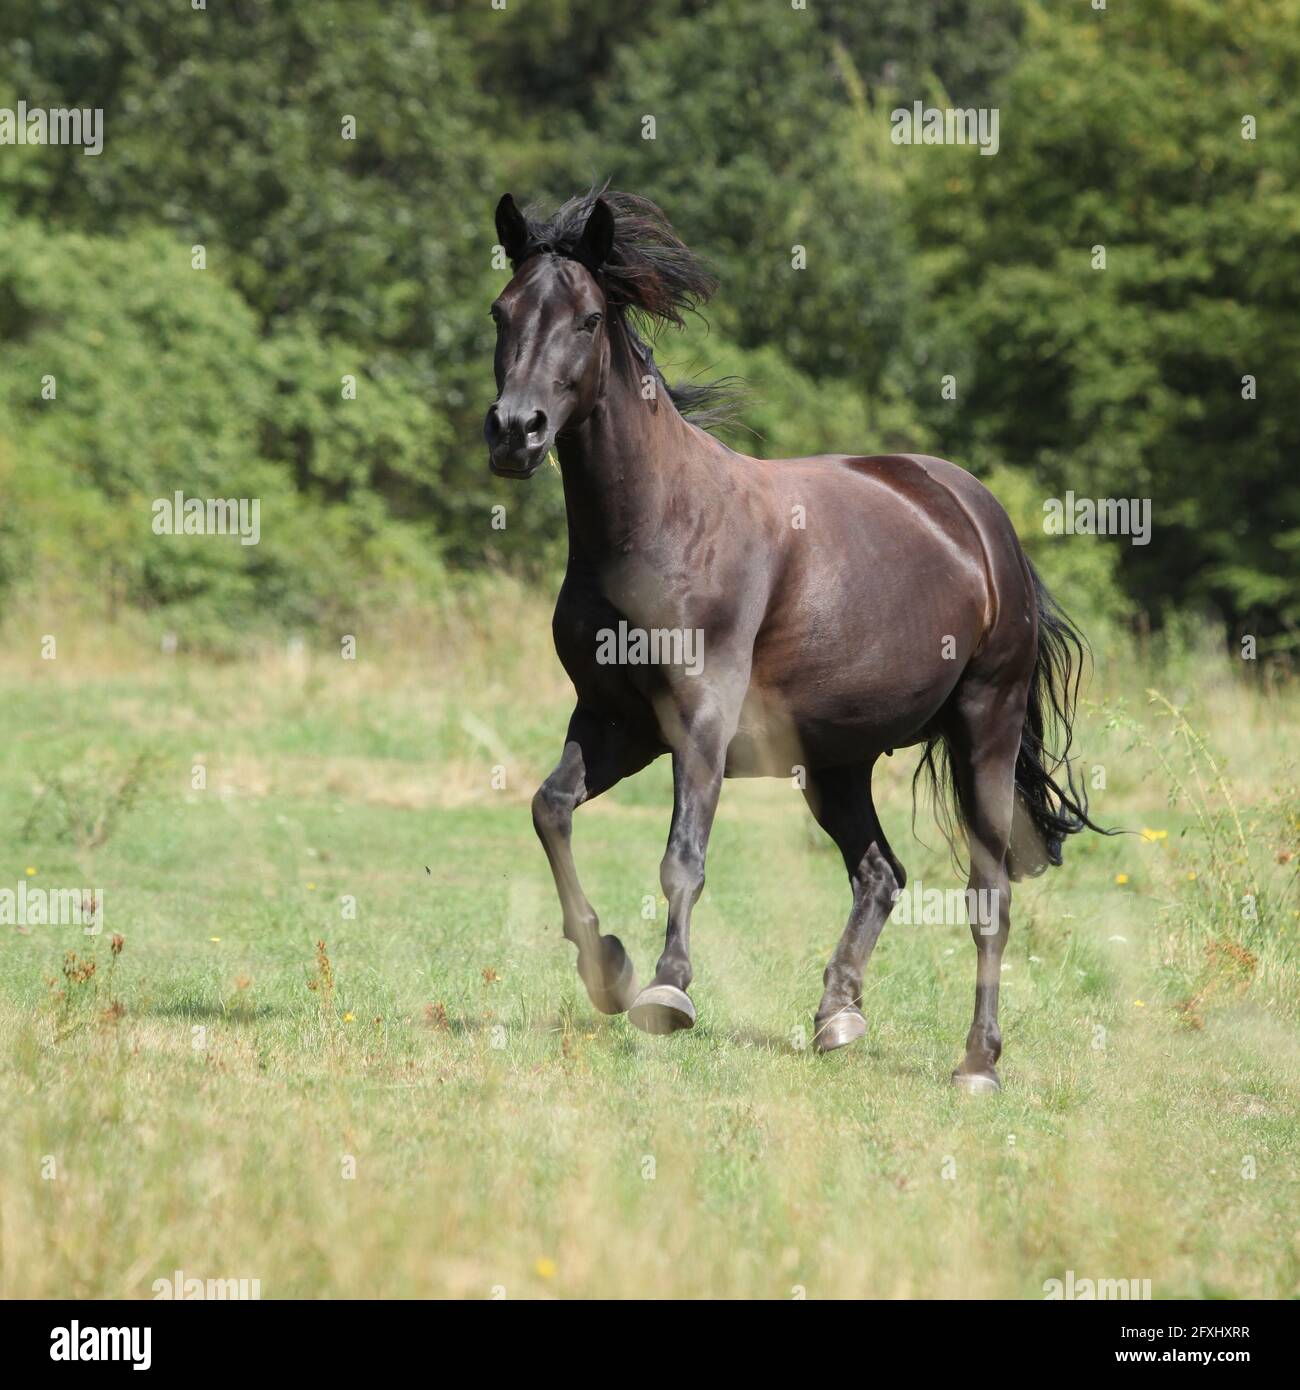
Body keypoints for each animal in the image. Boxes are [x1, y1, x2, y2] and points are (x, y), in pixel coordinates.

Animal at [484, 188, 1106, 1091]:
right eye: (502, 311)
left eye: (590, 319)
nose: (515, 432)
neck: (660, 523)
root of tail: (984, 523)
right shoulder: (613, 723)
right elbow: (550, 809)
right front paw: (609, 967)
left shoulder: (699, 722)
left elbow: (683, 855)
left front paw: (668, 992)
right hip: (837, 762)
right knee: (881, 874)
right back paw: (837, 1016)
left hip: (982, 732)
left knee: (987, 894)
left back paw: (977, 1062)